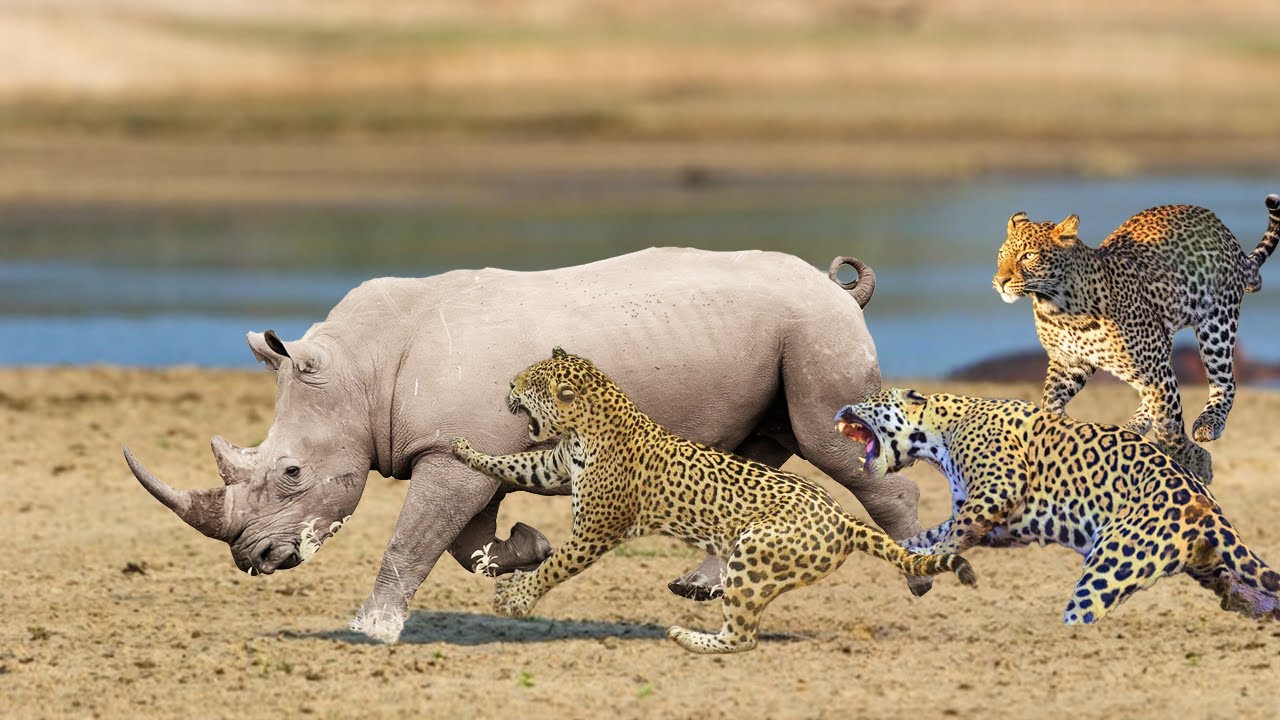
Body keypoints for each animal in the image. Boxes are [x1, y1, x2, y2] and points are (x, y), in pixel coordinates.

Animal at [124, 247, 928, 643]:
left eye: (291, 471)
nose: (252, 558)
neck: (361, 371)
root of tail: (836, 288)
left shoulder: (449, 455)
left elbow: (414, 539)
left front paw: (369, 630)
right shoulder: (459, 450)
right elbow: (463, 543)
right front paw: (528, 548)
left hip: (813, 328)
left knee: (830, 440)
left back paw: (919, 579)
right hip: (777, 332)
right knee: (754, 454)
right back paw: (702, 588)